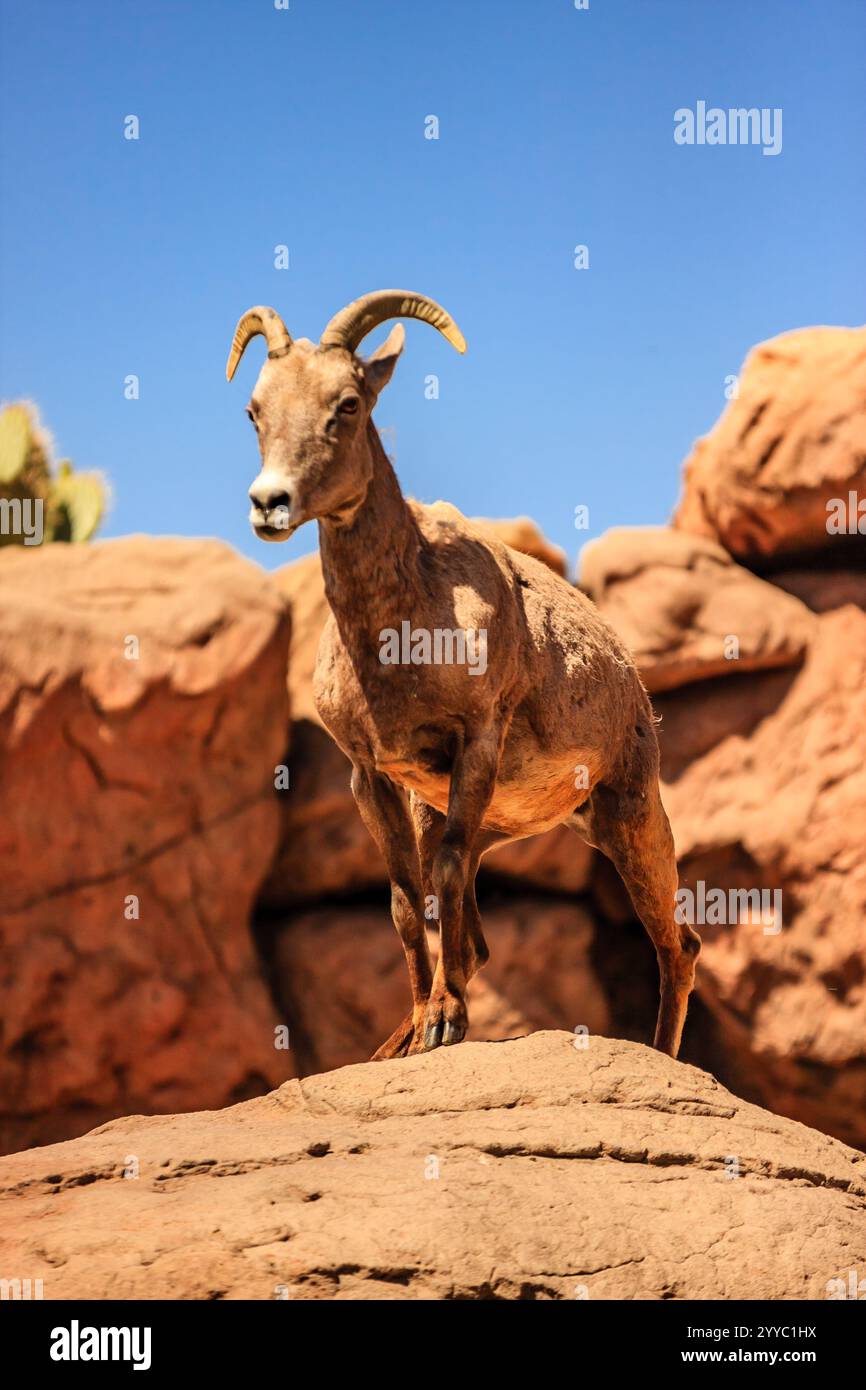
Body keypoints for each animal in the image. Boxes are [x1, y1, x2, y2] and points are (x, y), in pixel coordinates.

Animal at [227, 291, 701, 1059]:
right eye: (254, 409)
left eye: (348, 403)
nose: (270, 503)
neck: (398, 633)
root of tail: (634, 686)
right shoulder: (374, 777)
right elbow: (403, 901)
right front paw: (428, 1025)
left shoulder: (476, 743)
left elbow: (439, 877)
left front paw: (447, 1022)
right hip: (493, 823)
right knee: (474, 939)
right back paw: (395, 1043)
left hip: (628, 815)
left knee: (678, 944)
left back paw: (659, 1054)